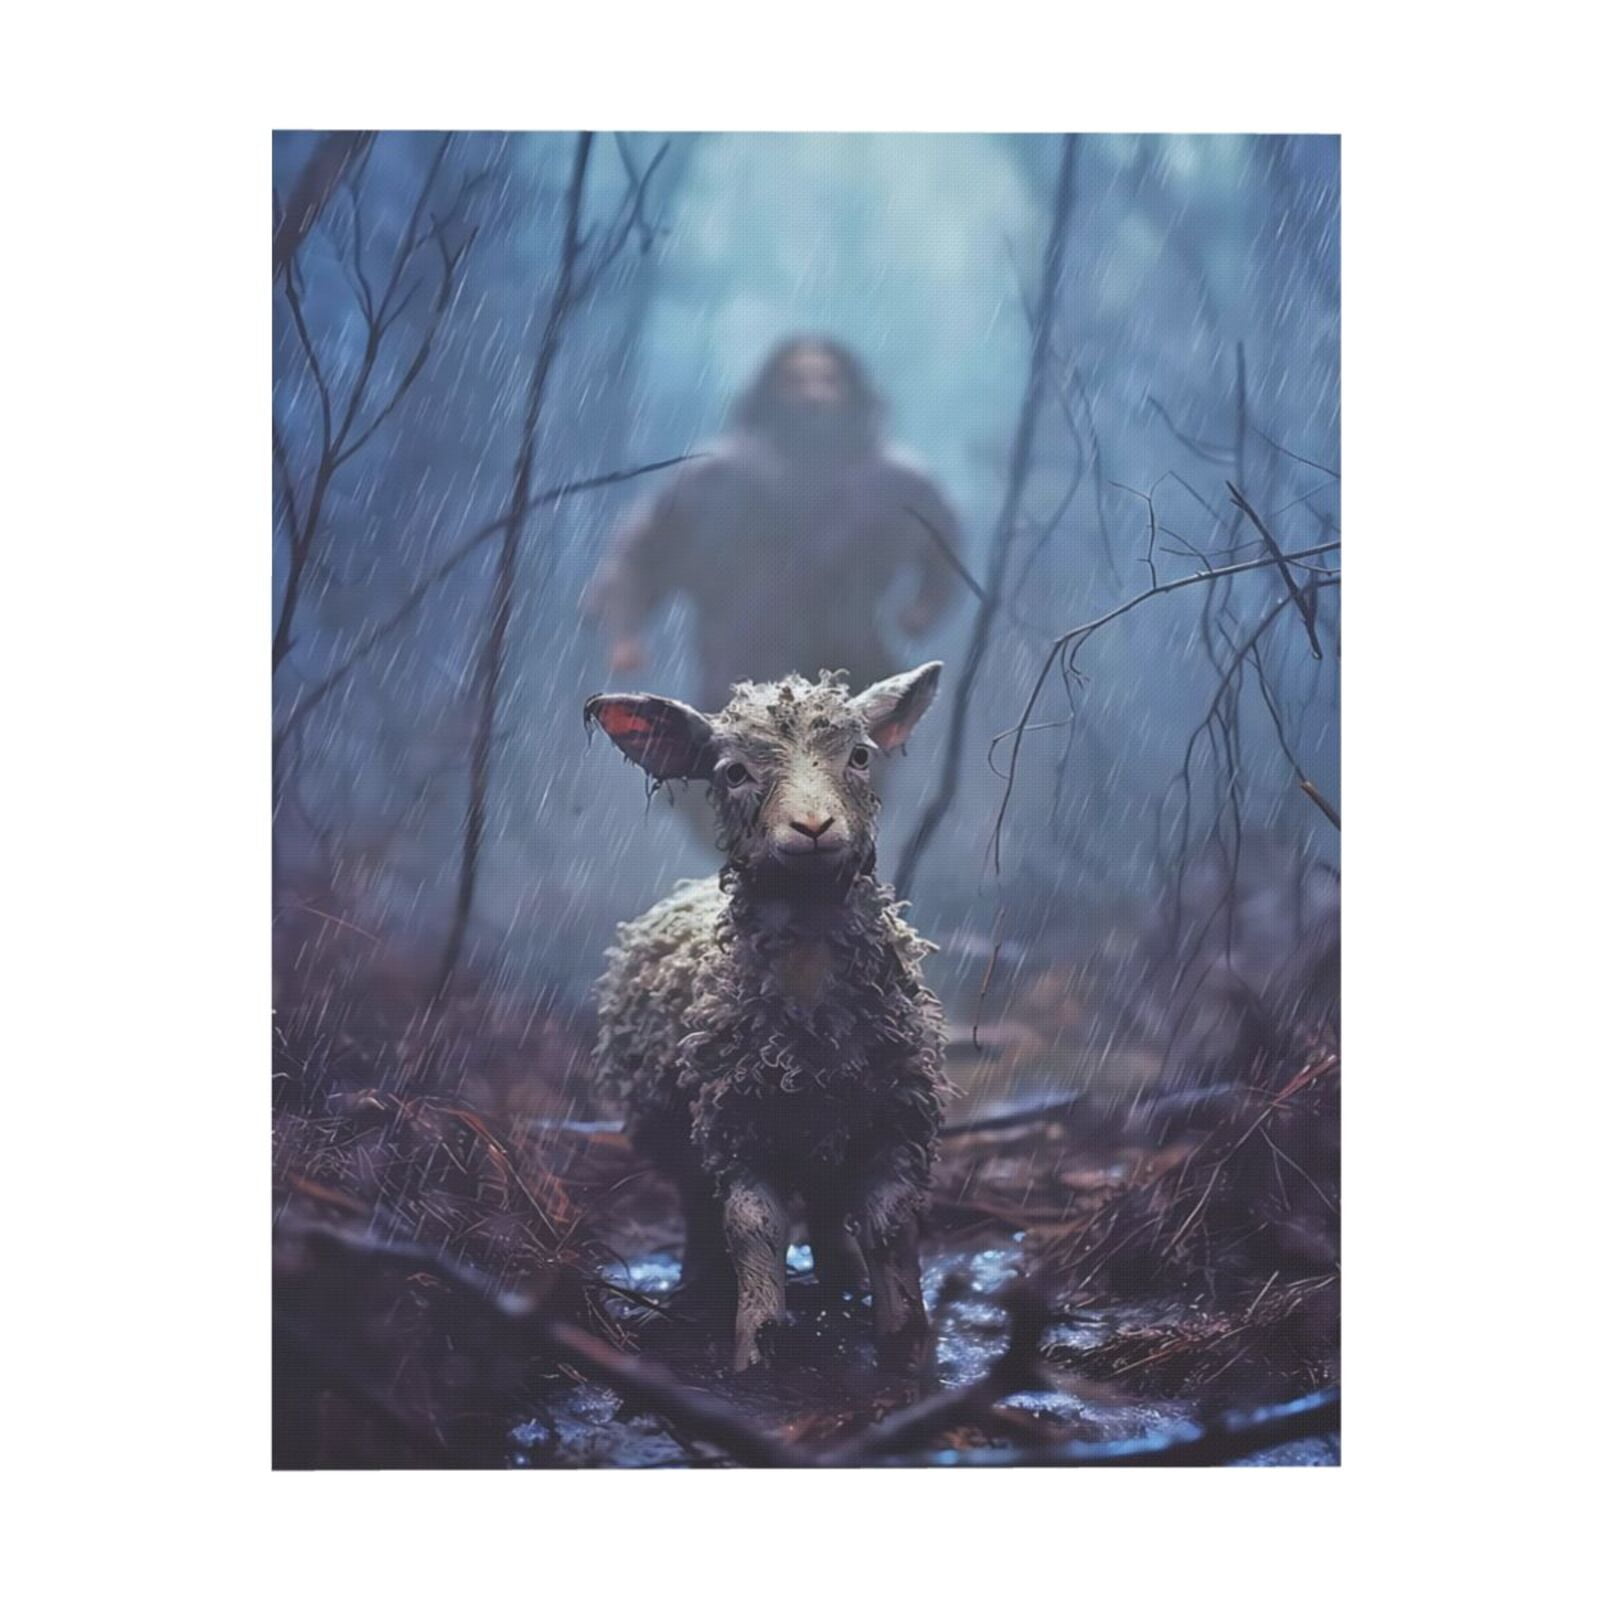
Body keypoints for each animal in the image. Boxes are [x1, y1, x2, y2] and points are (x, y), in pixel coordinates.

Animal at [584, 664, 948, 1373]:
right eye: (733, 772)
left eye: (859, 757)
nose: (812, 826)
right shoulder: (737, 1127)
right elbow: (754, 1224)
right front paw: (757, 1341)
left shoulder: (894, 1116)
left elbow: (890, 1222)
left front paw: (905, 1342)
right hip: (677, 1132)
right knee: (699, 1208)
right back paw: (700, 1282)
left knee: (831, 1211)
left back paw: (843, 1278)